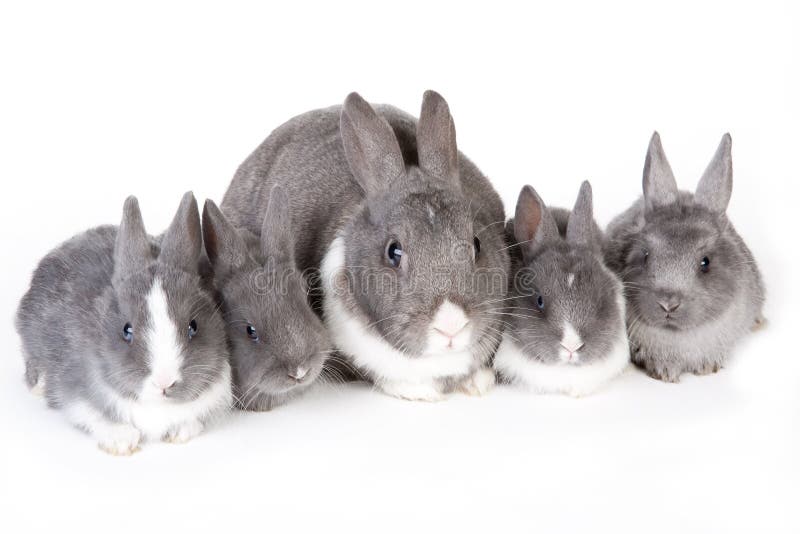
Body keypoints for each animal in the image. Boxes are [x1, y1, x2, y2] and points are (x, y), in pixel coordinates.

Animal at [15, 193, 232, 455]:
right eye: (126, 330)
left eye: (194, 326)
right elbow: (92, 415)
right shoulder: (75, 389)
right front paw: (121, 440)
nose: (164, 382)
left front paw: (179, 432)